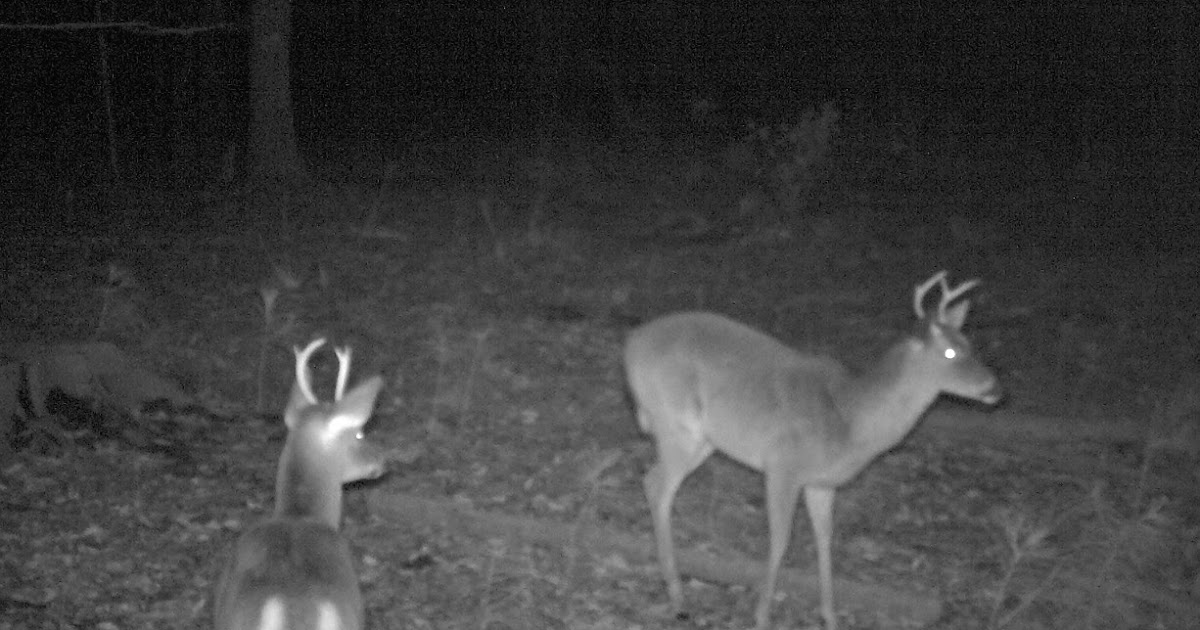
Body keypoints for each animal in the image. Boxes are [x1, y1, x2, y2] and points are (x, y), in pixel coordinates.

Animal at [623, 271, 1002, 630]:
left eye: (969, 343)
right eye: (950, 352)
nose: (995, 389)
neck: (852, 418)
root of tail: (630, 347)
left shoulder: (822, 483)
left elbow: (825, 540)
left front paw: (830, 617)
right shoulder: (782, 465)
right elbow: (780, 541)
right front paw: (762, 616)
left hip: (702, 439)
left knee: (654, 481)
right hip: (677, 425)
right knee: (656, 485)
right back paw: (677, 597)